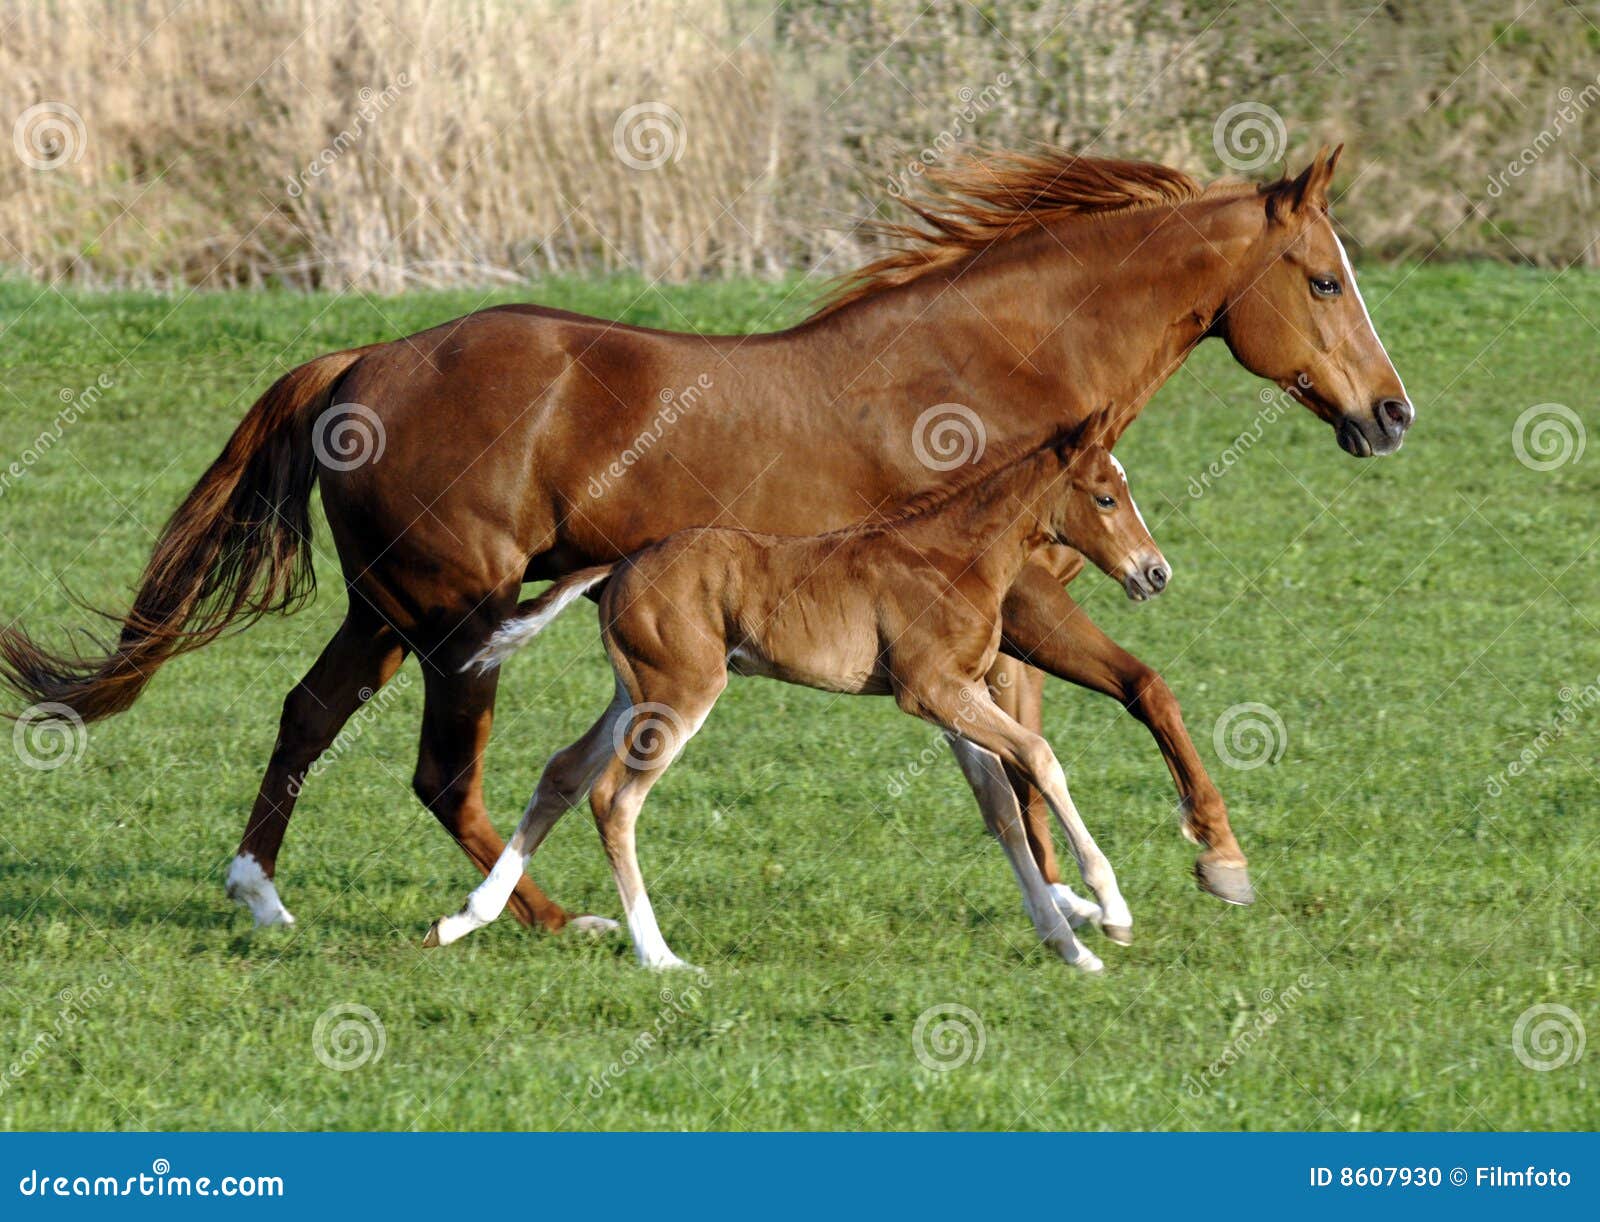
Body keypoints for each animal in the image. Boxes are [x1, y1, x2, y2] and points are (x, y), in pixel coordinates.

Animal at [425, 413, 1166, 971]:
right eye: (1106, 496)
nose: (1155, 573)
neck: (955, 557)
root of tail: (621, 565)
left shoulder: (957, 701)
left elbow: (1002, 810)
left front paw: (1070, 947)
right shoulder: (931, 691)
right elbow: (1040, 757)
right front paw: (1112, 911)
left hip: (633, 693)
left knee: (562, 774)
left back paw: (464, 919)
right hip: (683, 692)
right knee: (614, 799)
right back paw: (659, 957)